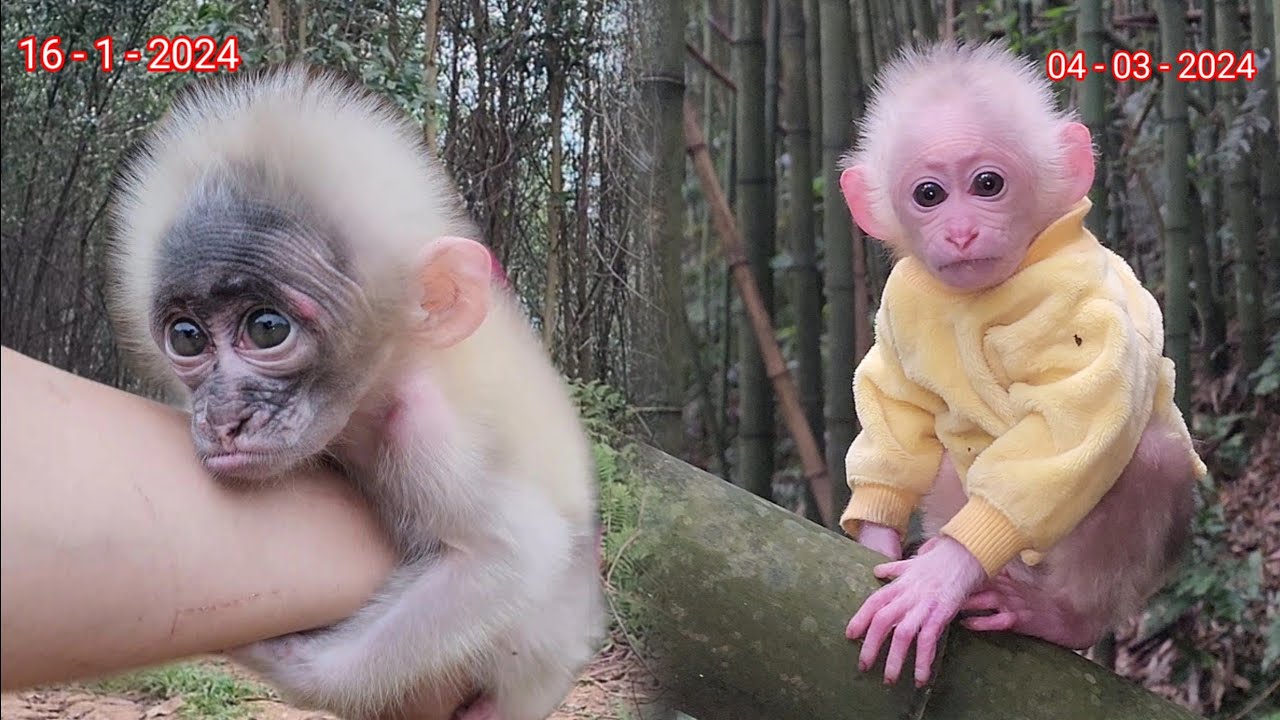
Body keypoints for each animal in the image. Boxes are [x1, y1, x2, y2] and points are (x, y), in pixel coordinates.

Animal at [103, 66, 604, 720]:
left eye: (268, 328)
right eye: (187, 337)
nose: (223, 418)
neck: (368, 399)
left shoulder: (428, 432)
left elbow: (512, 553)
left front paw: (296, 668)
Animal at [834, 41, 1205, 687]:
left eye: (988, 184)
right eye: (929, 194)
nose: (960, 233)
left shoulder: (1084, 299)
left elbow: (1075, 420)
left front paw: (947, 572)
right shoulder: (901, 298)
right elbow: (894, 401)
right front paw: (877, 528)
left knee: (1145, 453)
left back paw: (1066, 619)